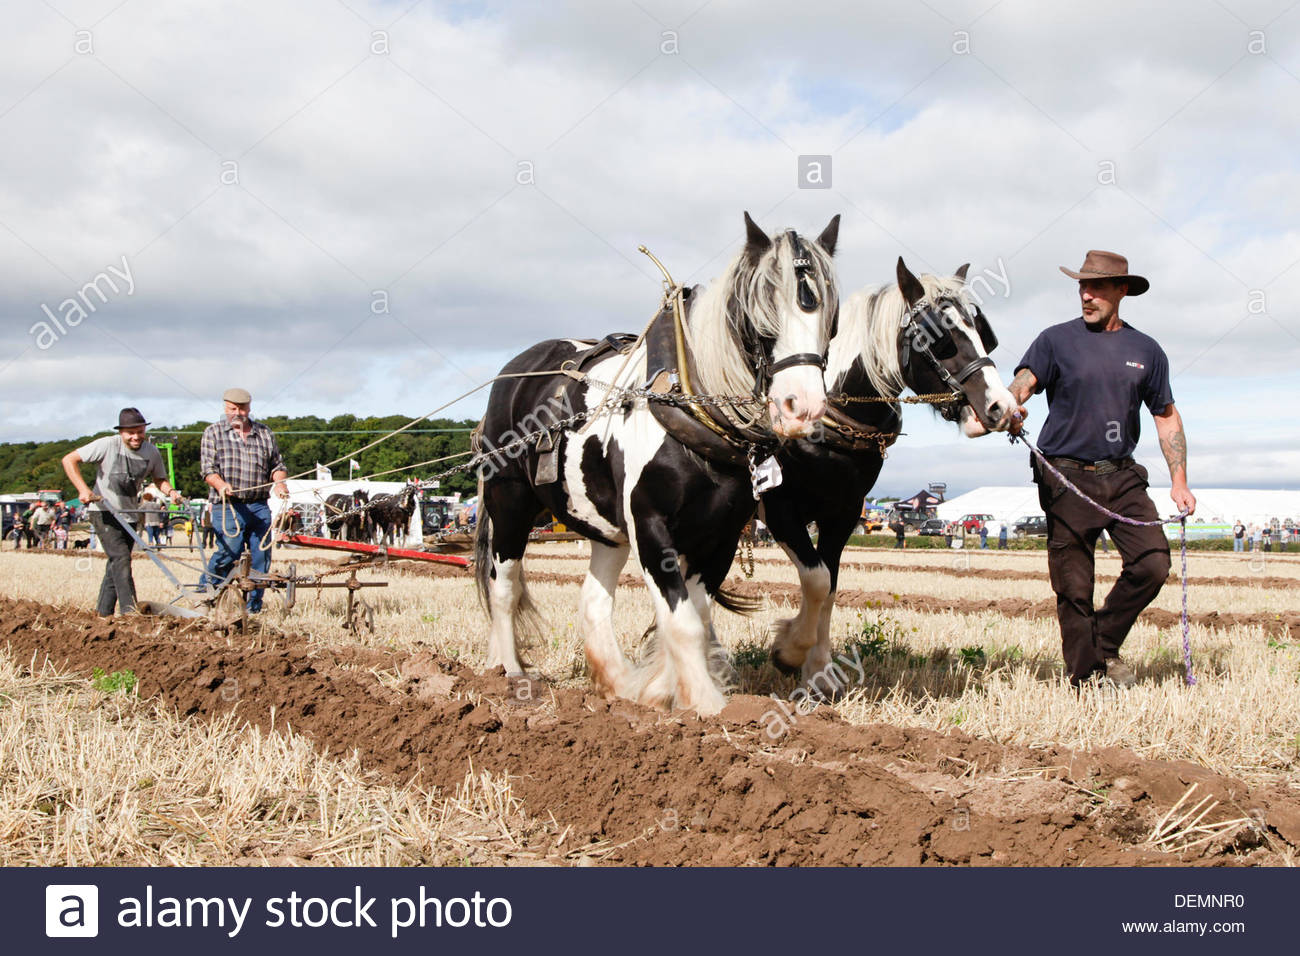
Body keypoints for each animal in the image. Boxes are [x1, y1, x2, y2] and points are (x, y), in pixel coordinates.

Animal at [475, 212, 841, 716]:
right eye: (759, 310)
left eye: (830, 316)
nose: (801, 407)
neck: (688, 405)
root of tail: (515, 372)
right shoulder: (650, 526)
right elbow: (682, 618)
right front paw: (705, 703)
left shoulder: (721, 534)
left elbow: (696, 612)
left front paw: (658, 689)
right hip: (509, 503)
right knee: (504, 586)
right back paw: (509, 672)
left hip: (607, 530)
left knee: (592, 602)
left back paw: (618, 684)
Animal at [758, 257, 1018, 696]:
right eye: (940, 338)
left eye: (980, 331)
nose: (1002, 406)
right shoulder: (779, 507)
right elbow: (815, 579)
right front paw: (788, 651)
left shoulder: (842, 513)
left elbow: (828, 585)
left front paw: (819, 672)